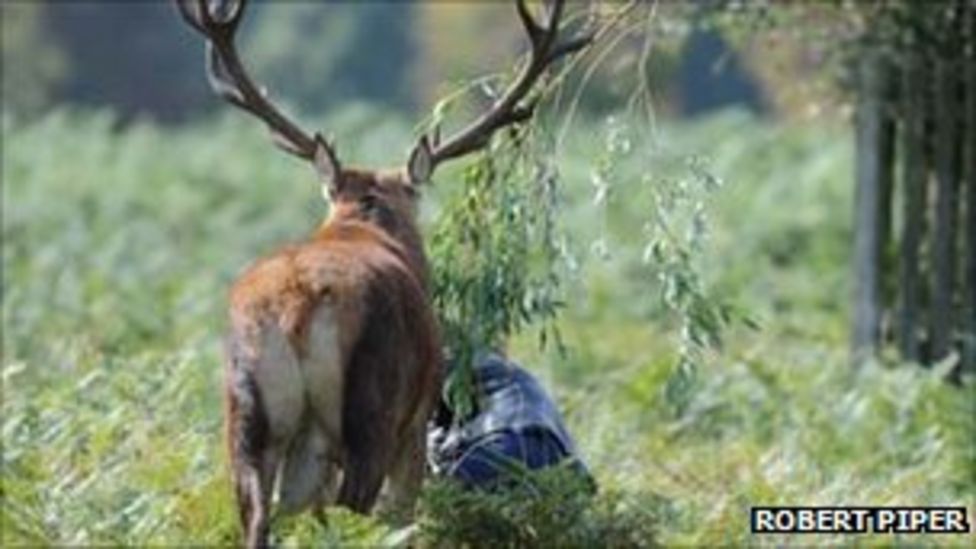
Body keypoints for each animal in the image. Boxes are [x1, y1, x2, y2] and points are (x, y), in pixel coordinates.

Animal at [175, 0, 592, 547]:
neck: (362, 221)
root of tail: (295, 308)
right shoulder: (415, 422)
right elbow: (402, 513)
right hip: (371, 411)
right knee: (362, 512)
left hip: (246, 420)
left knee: (265, 518)